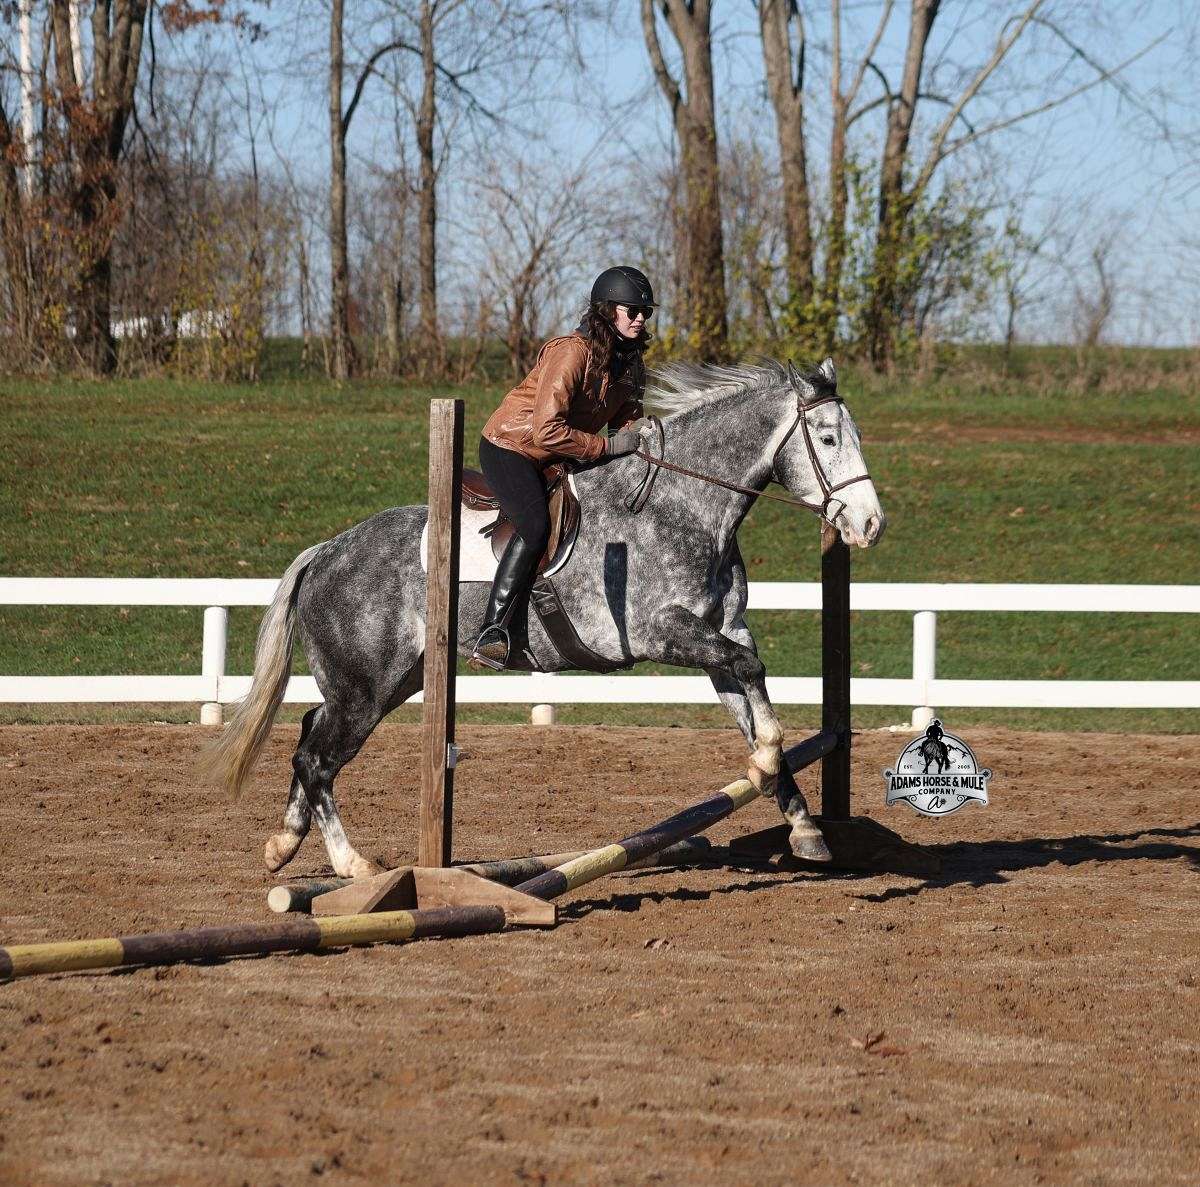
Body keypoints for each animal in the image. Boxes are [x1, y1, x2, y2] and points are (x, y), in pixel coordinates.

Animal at [201, 357, 886, 879]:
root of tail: (326, 551)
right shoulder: (663, 634)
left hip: (393, 680)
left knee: (311, 738)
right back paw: (354, 867)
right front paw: (769, 765)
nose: (870, 525)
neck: (684, 505)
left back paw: (282, 845)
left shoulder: (719, 633)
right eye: (829, 440)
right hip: (366, 686)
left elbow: (750, 688)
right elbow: (752, 675)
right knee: (319, 758)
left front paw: (803, 827)